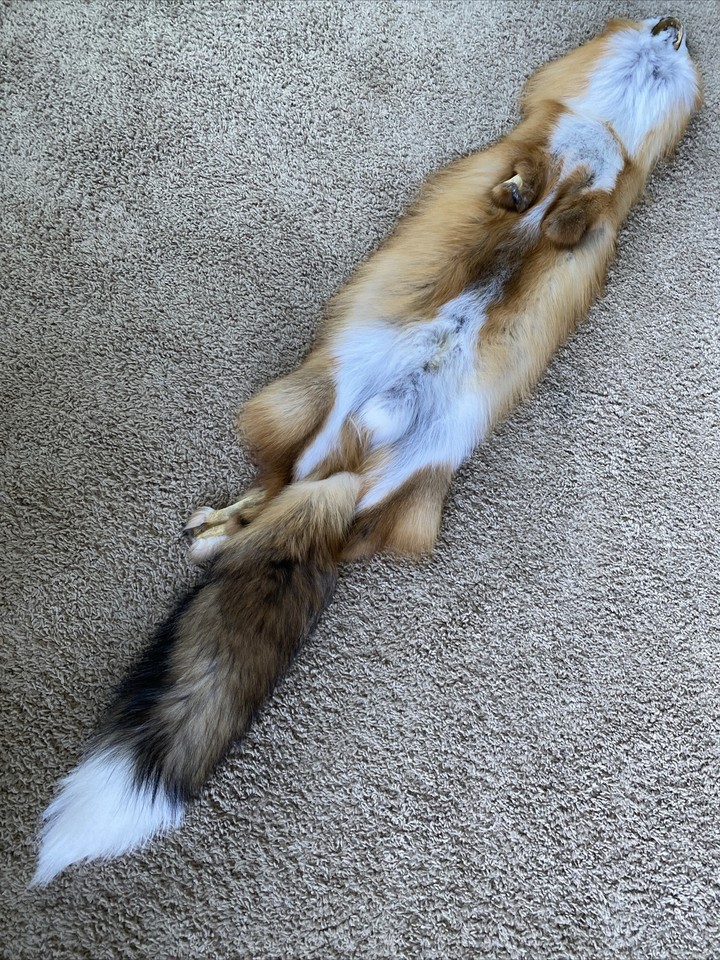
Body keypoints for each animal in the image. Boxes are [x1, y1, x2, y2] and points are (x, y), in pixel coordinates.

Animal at [33, 16, 701, 884]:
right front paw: (525, 196)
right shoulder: (532, 140)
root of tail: (357, 475)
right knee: (266, 494)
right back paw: (214, 531)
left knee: (270, 501)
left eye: (677, 54)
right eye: (634, 29)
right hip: (303, 403)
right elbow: (530, 177)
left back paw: (217, 538)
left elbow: (581, 213)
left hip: (325, 438)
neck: (604, 129)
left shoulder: (607, 199)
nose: (673, 26)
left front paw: (555, 214)